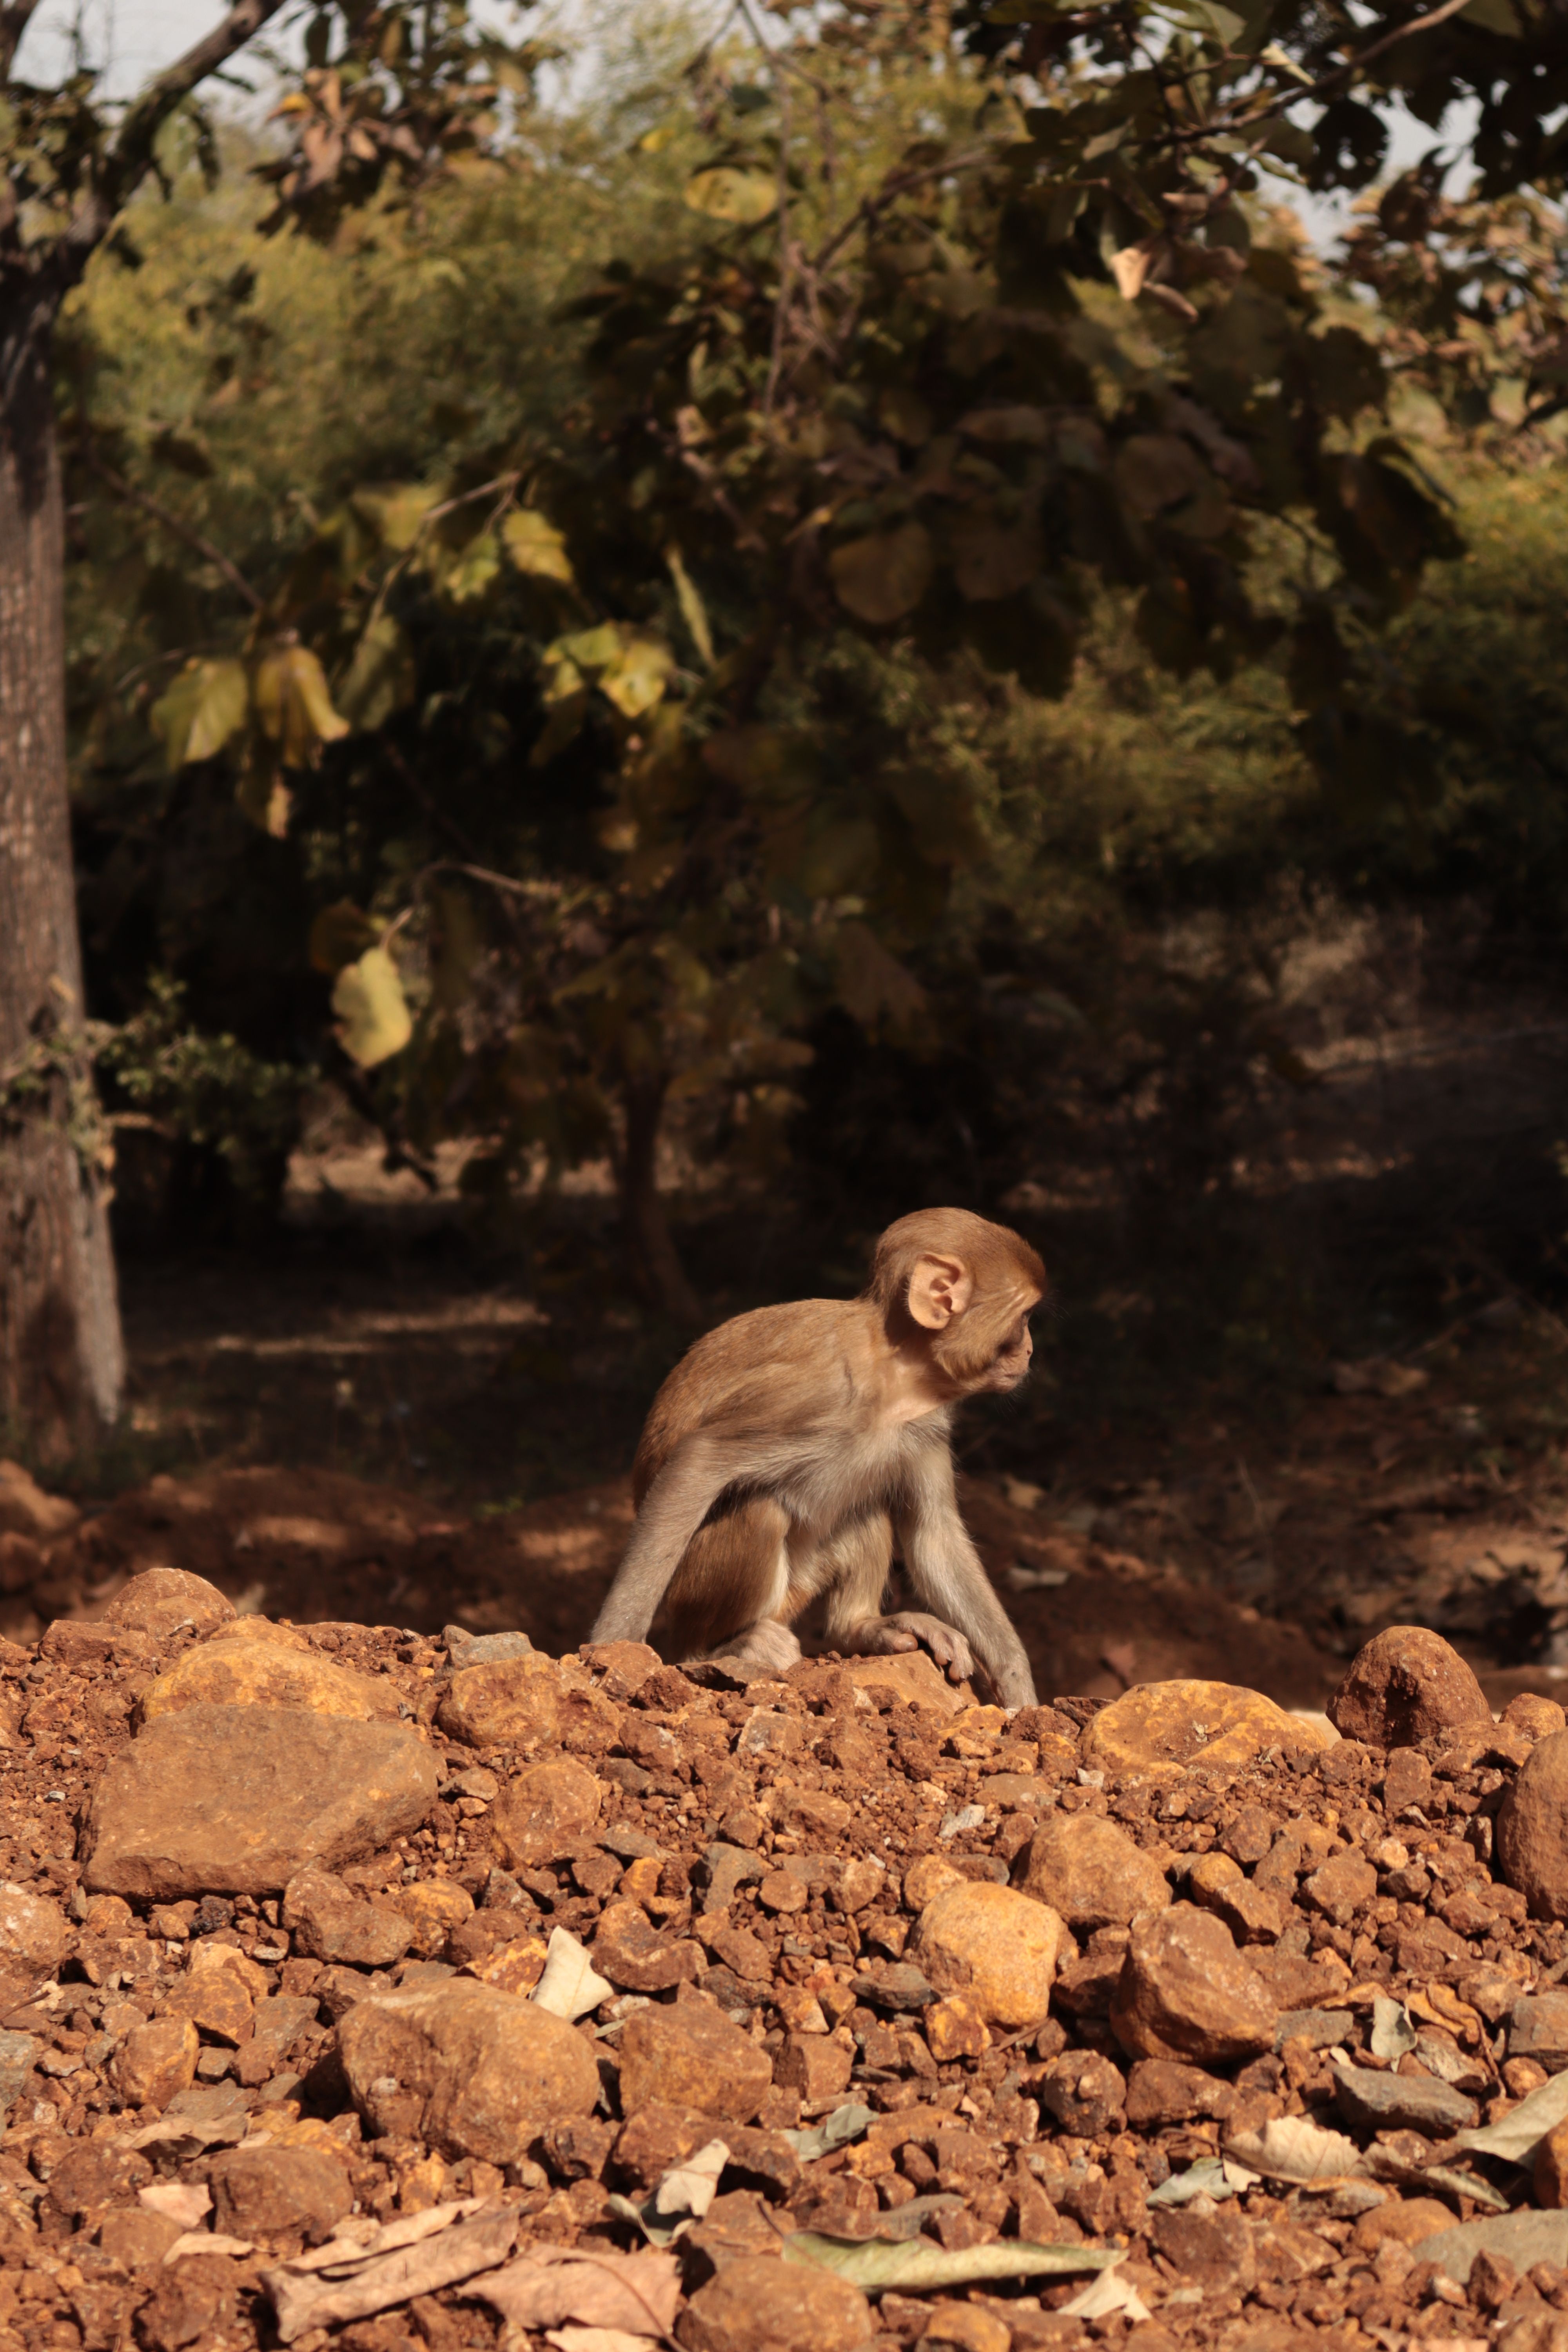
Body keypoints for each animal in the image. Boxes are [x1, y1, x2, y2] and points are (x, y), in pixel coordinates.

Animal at [590, 1207, 1043, 1708]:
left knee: (866, 1509)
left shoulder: (926, 1424)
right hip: (692, 1594)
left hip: (805, 1581)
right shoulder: (815, 1394)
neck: (893, 1371)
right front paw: (613, 1642)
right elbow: (699, 1460)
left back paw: (862, 1628)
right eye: (1024, 1317)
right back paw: (709, 1649)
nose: (1030, 1350)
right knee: (760, 1508)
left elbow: (933, 1535)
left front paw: (1015, 1680)